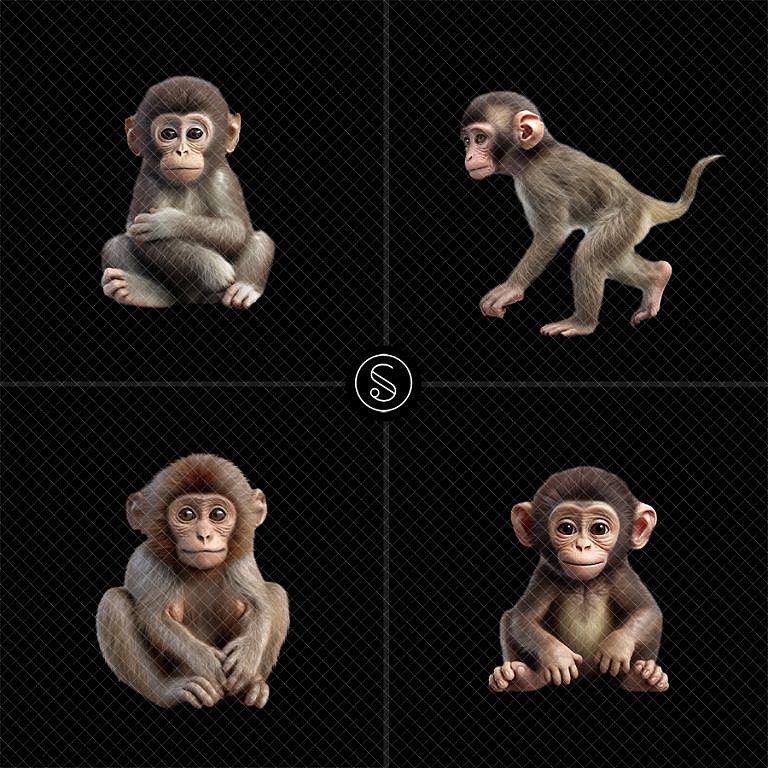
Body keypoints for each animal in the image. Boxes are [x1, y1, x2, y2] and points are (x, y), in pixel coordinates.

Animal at [97, 454, 289, 708]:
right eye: (187, 515)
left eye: (218, 515)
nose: (204, 535)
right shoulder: (145, 561)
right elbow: (155, 618)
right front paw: (205, 661)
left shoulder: (242, 558)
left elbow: (261, 607)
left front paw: (246, 656)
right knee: (113, 602)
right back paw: (171, 691)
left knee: (276, 593)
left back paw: (252, 686)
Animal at [101, 77, 274, 309]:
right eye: (168, 134)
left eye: (195, 133)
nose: (182, 151)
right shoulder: (148, 182)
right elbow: (138, 235)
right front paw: (213, 269)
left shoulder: (223, 178)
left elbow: (236, 229)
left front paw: (168, 221)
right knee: (116, 245)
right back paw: (139, 291)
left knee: (260, 239)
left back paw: (244, 289)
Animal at [462, 92, 722, 335]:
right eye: (466, 141)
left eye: (480, 138)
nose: (469, 156)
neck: (532, 156)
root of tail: (641, 200)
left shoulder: (538, 182)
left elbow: (552, 234)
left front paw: (511, 289)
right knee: (613, 260)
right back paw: (658, 277)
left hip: (625, 218)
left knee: (588, 256)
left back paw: (582, 323)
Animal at [488, 467, 668, 692]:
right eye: (566, 529)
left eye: (599, 529)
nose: (582, 546)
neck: (584, 584)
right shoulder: (544, 576)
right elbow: (522, 618)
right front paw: (557, 656)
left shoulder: (621, 574)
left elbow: (646, 610)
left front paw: (617, 646)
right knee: (508, 617)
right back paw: (523, 679)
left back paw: (642, 678)